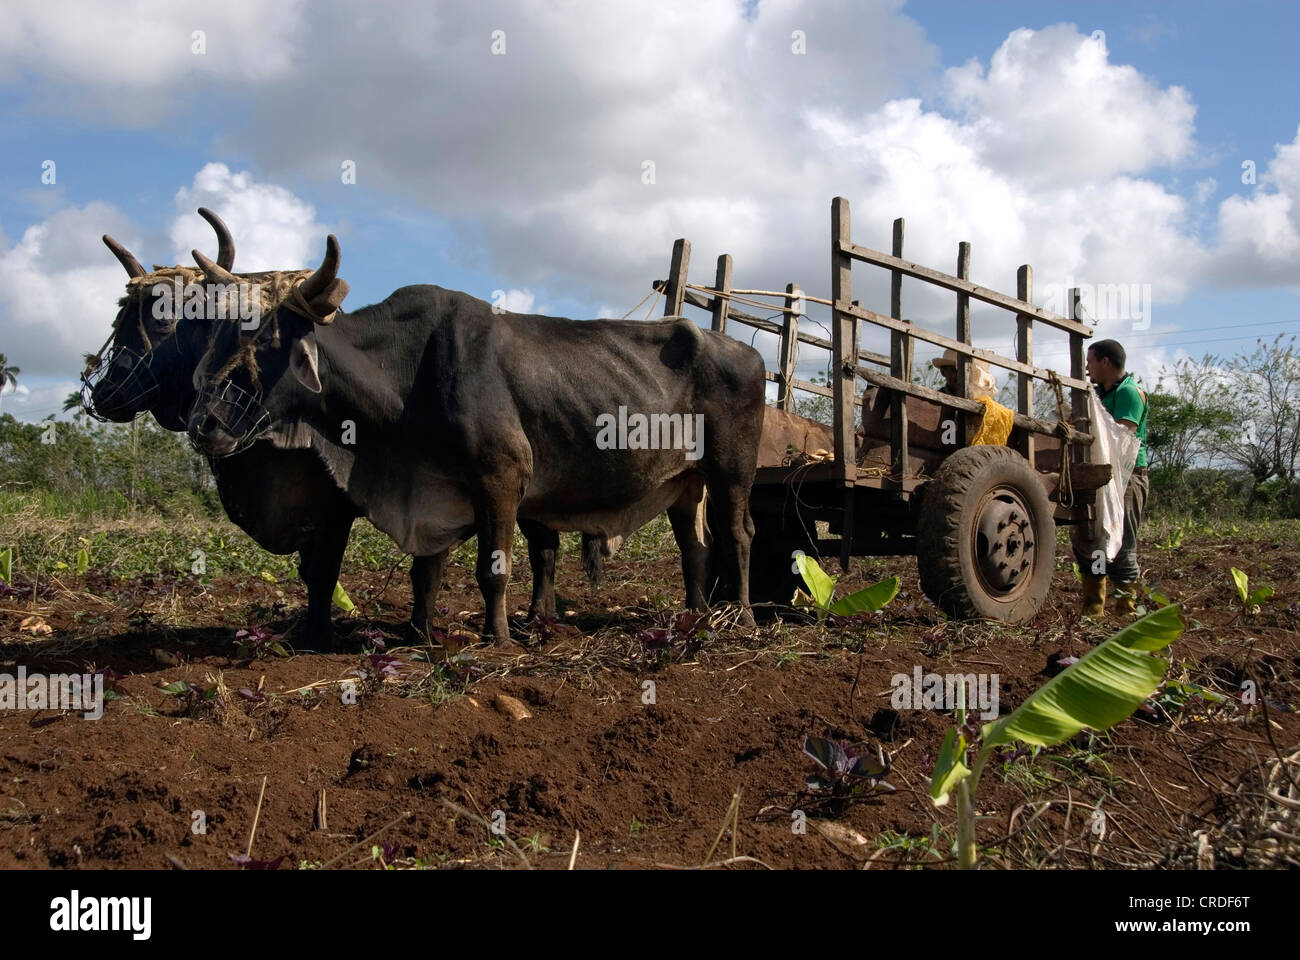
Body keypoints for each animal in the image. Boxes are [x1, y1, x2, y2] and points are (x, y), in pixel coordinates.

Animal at [86, 212, 580, 649]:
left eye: (165, 317)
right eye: (123, 315)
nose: (106, 392)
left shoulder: (335, 509)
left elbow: (326, 572)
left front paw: (320, 637)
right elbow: (322, 573)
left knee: (541, 550)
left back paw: (536, 619)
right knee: (544, 547)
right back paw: (540, 617)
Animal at [186, 236, 766, 641]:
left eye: (267, 339)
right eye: (225, 335)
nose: (203, 424)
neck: (407, 374)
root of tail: (743, 349)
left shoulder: (501, 476)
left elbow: (494, 570)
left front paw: (499, 637)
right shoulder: (436, 494)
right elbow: (428, 572)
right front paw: (419, 634)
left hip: (732, 471)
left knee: (738, 537)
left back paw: (741, 617)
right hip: (685, 483)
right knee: (694, 547)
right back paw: (694, 616)